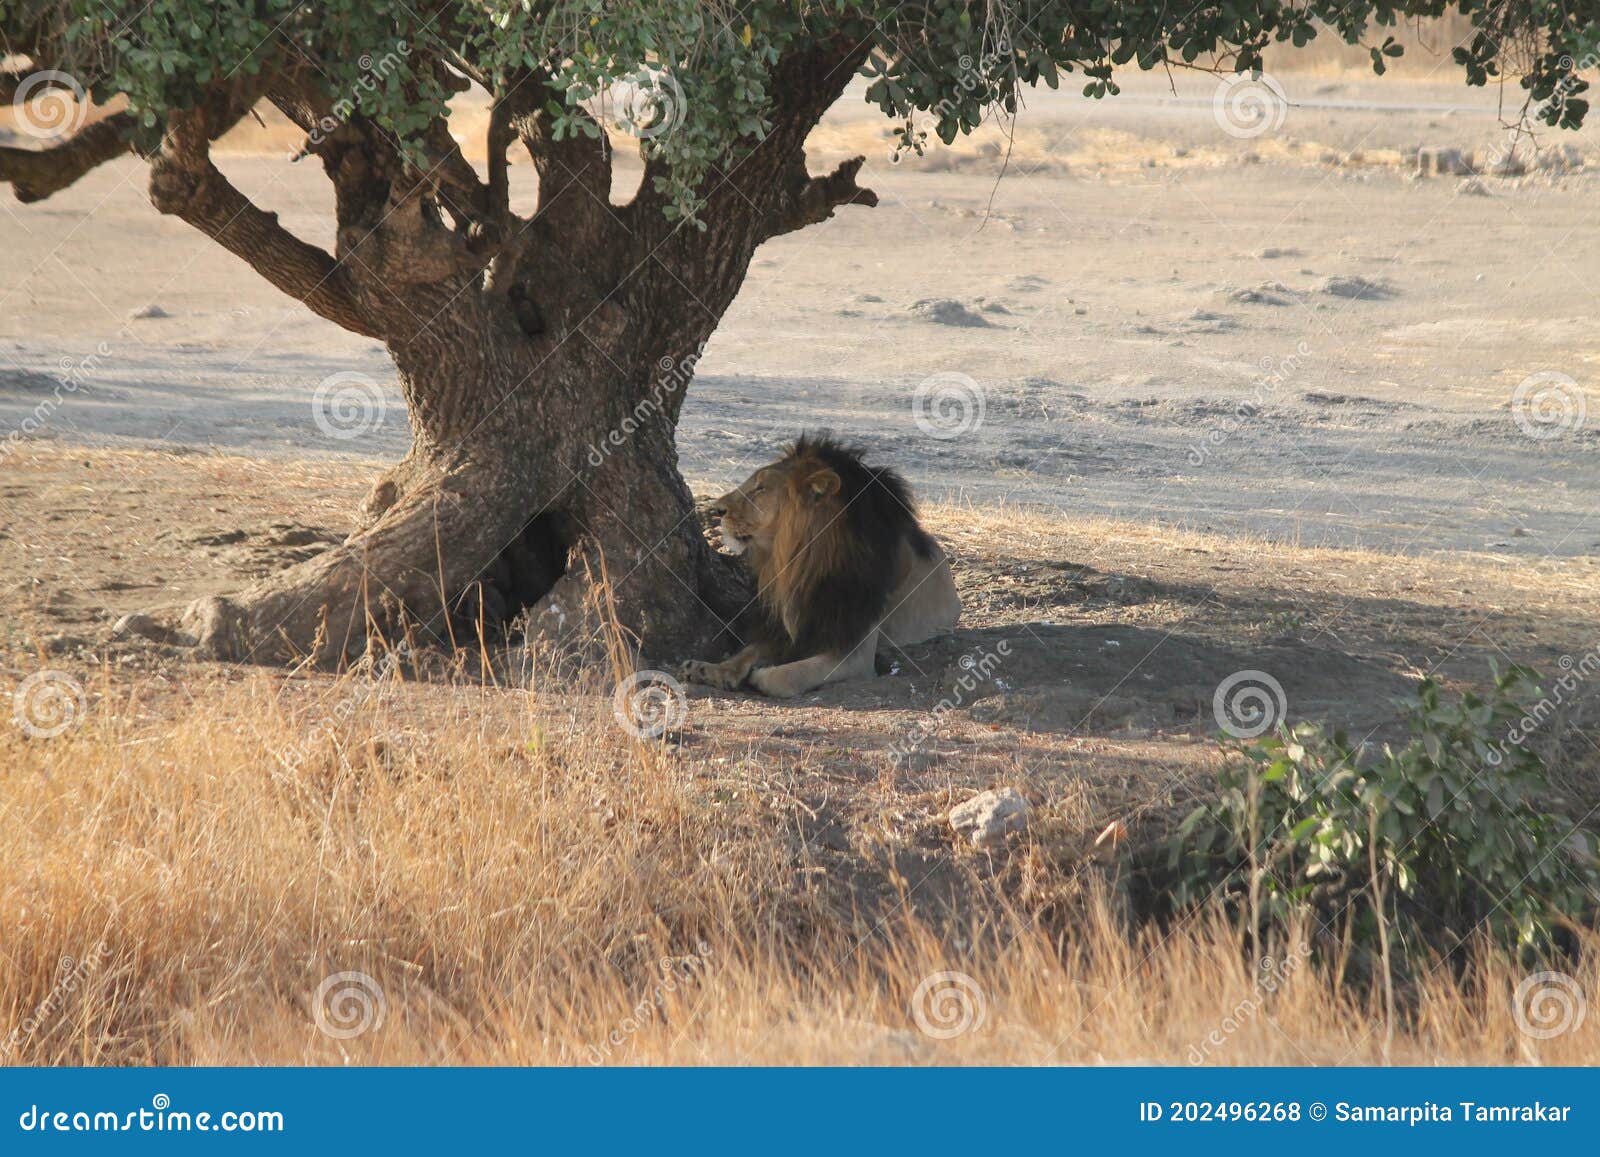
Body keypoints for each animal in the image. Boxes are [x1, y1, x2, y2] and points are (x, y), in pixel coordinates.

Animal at [681, 433, 961, 698]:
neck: (803, 564)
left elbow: (786, 676)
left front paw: (761, 675)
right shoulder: (791, 623)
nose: (716, 510)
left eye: (760, 488)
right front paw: (710, 669)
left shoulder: (854, 649)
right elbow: (749, 649)